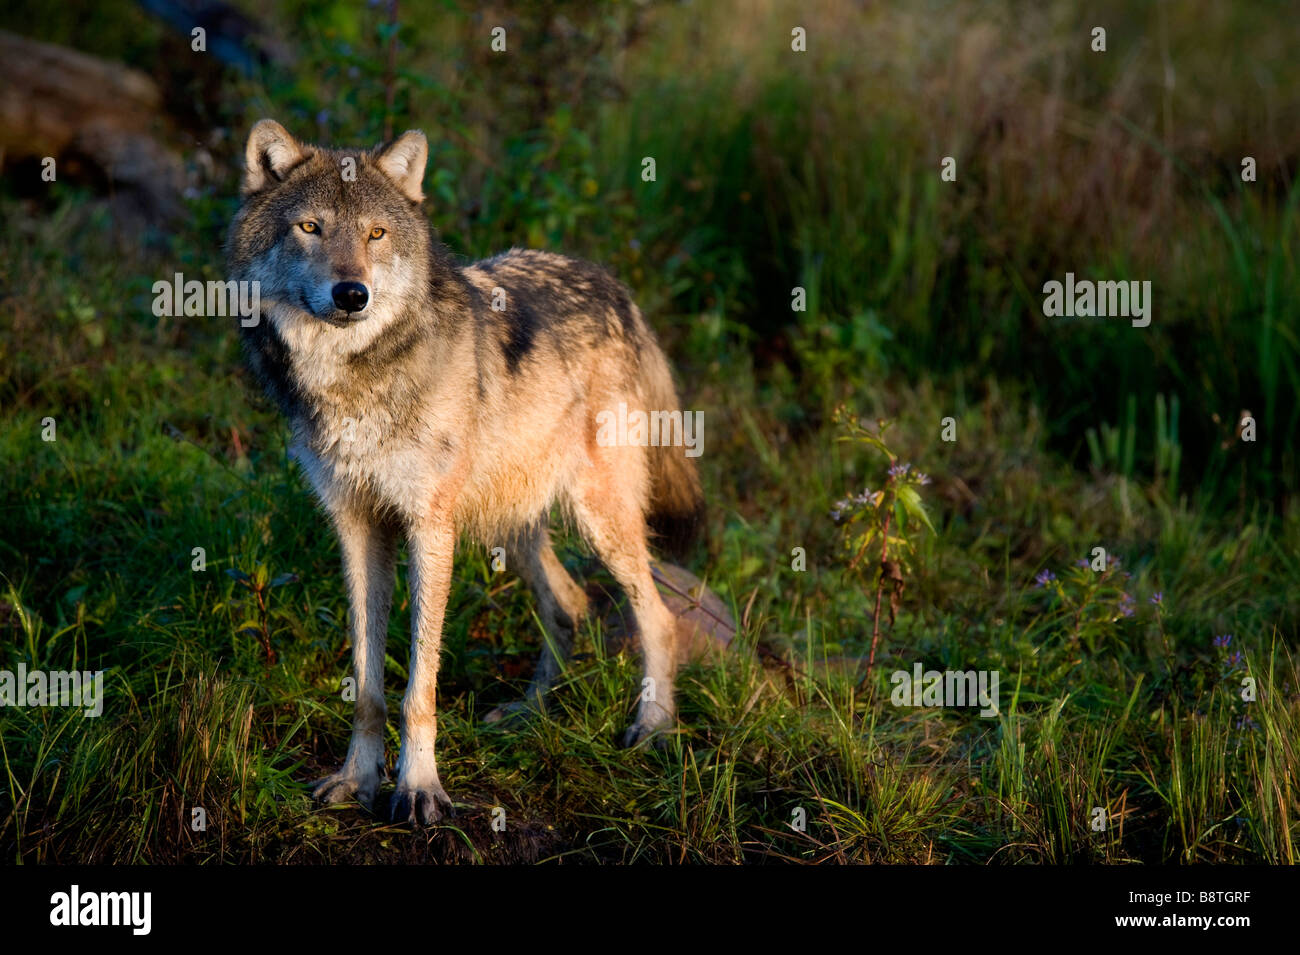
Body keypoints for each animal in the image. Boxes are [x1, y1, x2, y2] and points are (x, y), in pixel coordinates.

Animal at [226, 120, 704, 825]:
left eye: (376, 234)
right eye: (310, 228)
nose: (352, 294)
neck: (354, 379)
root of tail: (613, 285)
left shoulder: (429, 528)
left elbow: (418, 685)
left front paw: (419, 788)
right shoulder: (357, 527)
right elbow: (368, 682)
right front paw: (356, 780)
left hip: (598, 520)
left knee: (656, 616)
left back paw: (652, 727)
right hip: (513, 524)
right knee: (571, 604)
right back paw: (528, 715)